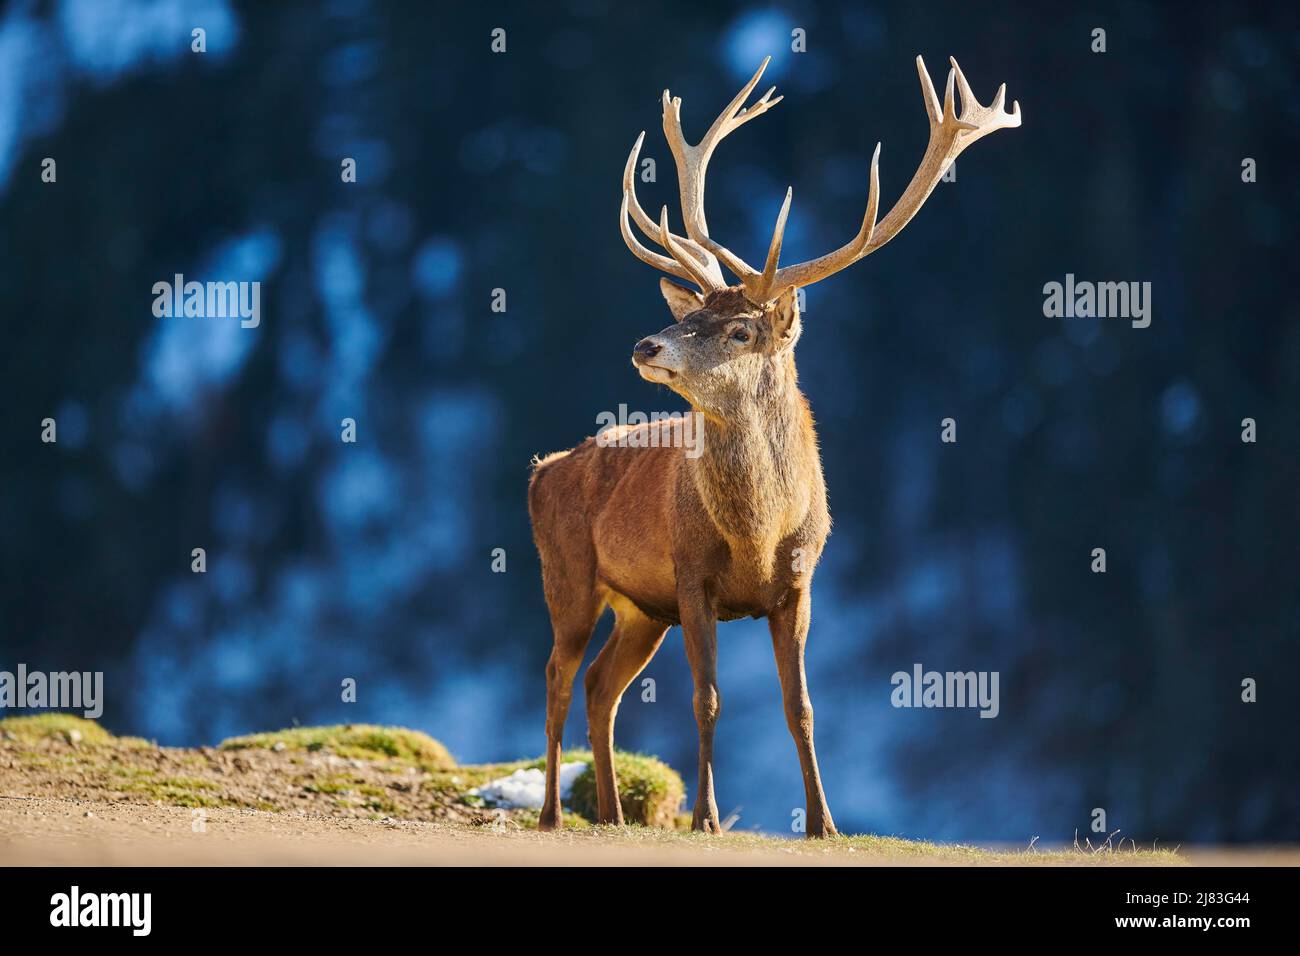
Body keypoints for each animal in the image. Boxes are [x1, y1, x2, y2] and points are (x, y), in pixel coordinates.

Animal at [528, 55, 1020, 837]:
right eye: (693, 311)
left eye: (739, 329)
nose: (645, 344)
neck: (758, 534)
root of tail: (541, 470)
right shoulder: (690, 574)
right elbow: (707, 699)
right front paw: (706, 818)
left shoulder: (801, 580)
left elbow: (803, 706)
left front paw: (825, 823)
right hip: (568, 574)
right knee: (557, 676)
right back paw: (550, 814)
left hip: (641, 610)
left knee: (602, 686)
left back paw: (611, 815)